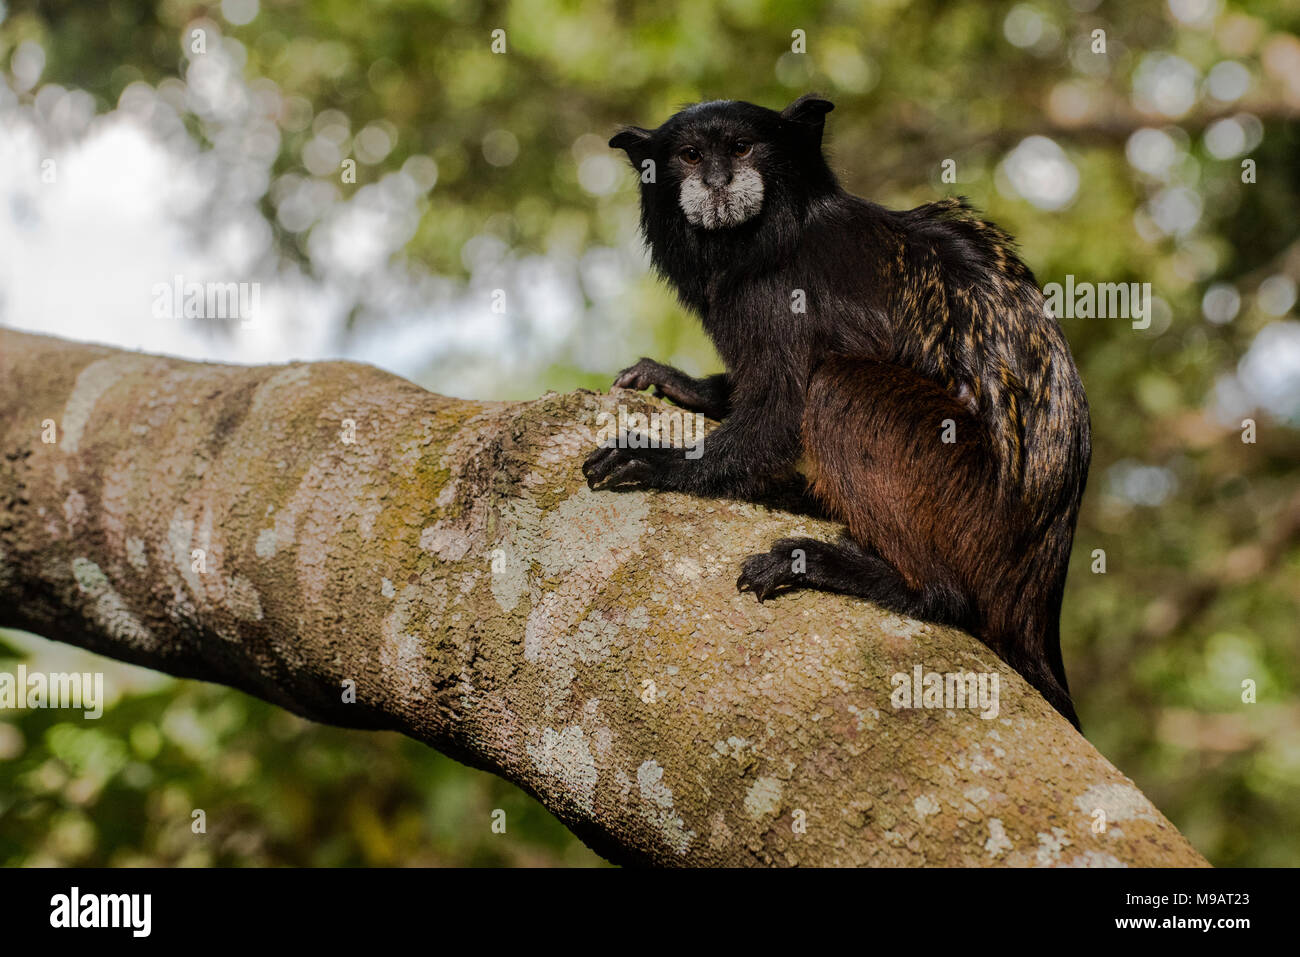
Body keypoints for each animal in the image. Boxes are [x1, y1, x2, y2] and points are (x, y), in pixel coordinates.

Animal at [582, 94, 1091, 730]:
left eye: (742, 148)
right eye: (691, 155)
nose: (718, 181)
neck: (767, 237)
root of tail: (1034, 595)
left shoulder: (782, 299)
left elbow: (779, 413)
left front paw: (660, 462)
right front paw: (686, 386)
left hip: (970, 501)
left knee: (839, 387)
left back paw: (890, 582)